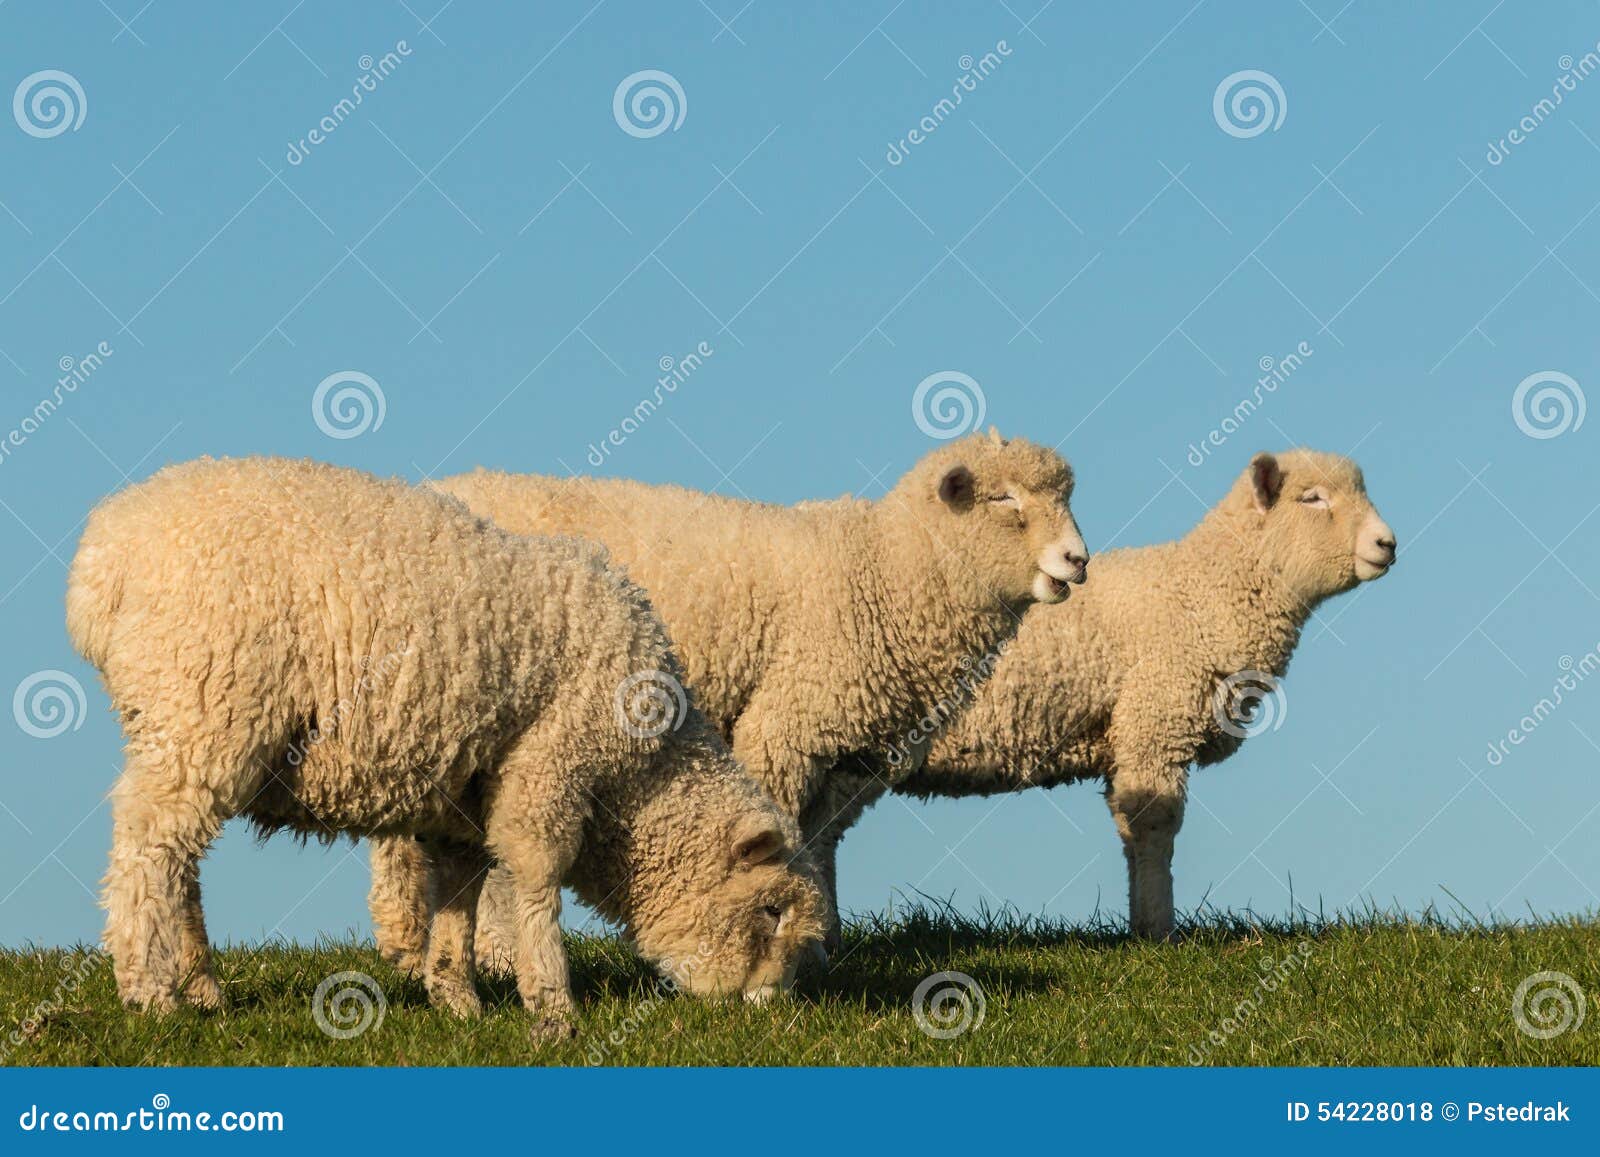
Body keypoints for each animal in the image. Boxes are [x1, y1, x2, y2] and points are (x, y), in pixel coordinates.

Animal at [66, 456, 826, 1037]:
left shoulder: (464, 788)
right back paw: (149, 990)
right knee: (148, 849)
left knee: (180, 858)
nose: (770, 1016)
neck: (643, 779)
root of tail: (103, 559)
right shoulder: (550, 763)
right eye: (770, 912)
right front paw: (552, 1005)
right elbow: (537, 877)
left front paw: (456, 995)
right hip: (205, 705)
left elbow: (461, 885)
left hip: (181, 723)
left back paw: (201, 984)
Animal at [370, 430, 1089, 963]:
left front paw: (824, 942)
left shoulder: (846, 755)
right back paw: (428, 945)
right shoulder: (787, 723)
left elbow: (820, 843)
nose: (1078, 559)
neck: (887, 571)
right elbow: (785, 830)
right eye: (1004, 498)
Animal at [898, 450, 1397, 939]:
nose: (1387, 543)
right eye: (1312, 498)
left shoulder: (1128, 740)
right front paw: (1159, 930)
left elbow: (1128, 828)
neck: (1200, 595)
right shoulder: (1155, 726)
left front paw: (1139, 927)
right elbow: (1155, 827)